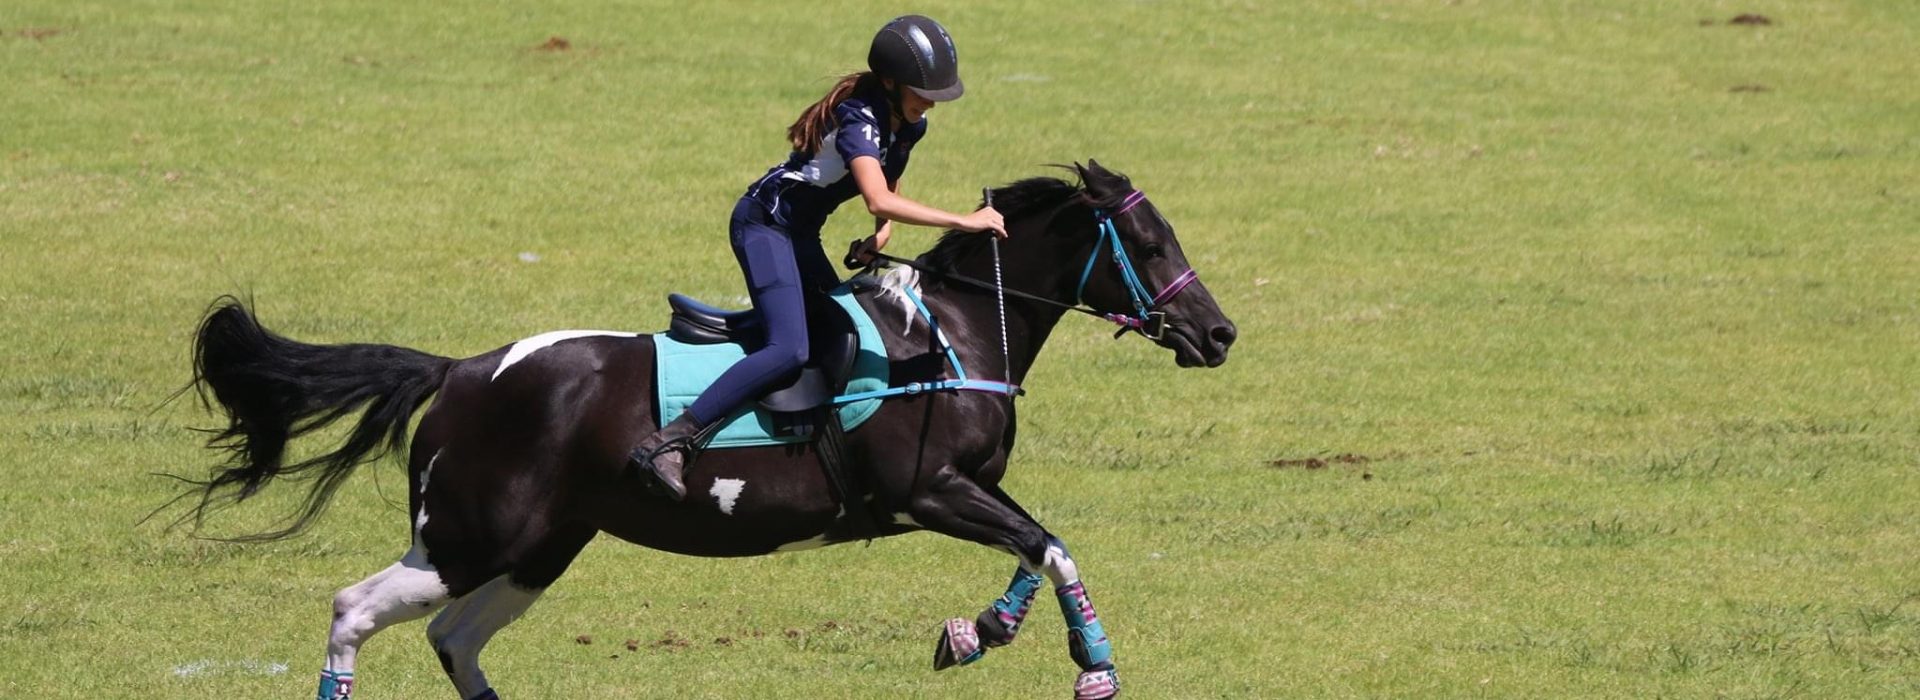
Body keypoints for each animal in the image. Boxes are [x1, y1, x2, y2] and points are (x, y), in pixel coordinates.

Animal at [176, 160, 1236, 700]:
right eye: (1148, 244)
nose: (1220, 334)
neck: (950, 330)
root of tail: (461, 372)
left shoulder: (969, 486)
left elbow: (1041, 541)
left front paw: (979, 632)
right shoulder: (928, 491)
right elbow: (1045, 544)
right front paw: (1078, 662)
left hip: (538, 550)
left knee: (453, 641)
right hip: (469, 539)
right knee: (354, 610)